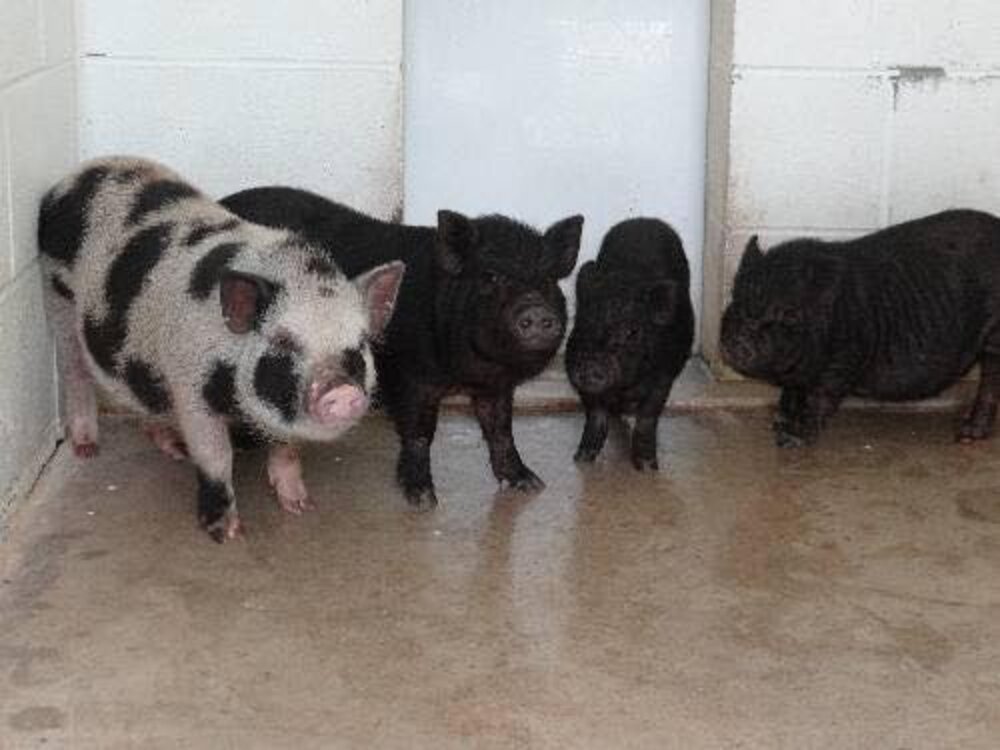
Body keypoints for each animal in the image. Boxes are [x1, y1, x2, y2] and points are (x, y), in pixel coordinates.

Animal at [39, 157, 404, 541]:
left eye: (359, 343)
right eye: (283, 341)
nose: (342, 390)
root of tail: (76, 176)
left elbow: (287, 451)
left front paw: (300, 506)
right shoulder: (191, 389)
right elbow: (216, 457)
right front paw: (228, 533)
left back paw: (172, 448)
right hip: (57, 299)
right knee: (74, 371)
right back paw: (87, 449)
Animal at [220, 187, 583, 508]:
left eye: (548, 279)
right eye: (490, 276)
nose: (536, 310)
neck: (469, 373)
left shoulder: (496, 387)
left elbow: (501, 430)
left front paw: (530, 484)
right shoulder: (414, 378)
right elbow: (420, 433)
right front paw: (423, 500)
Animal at [566, 218, 694, 470]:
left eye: (631, 331)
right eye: (583, 322)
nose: (590, 364)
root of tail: (644, 220)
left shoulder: (664, 376)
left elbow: (648, 415)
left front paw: (647, 466)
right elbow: (596, 414)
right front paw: (582, 458)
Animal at [719, 209, 1000, 446]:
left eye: (788, 313)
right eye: (735, 299)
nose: (737, 341)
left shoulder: (844, 360)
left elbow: (819, 397)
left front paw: (792, 439)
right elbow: (792, 392)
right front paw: (779, 421)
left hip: (994, 335)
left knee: (990, 379)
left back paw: (967, 435)